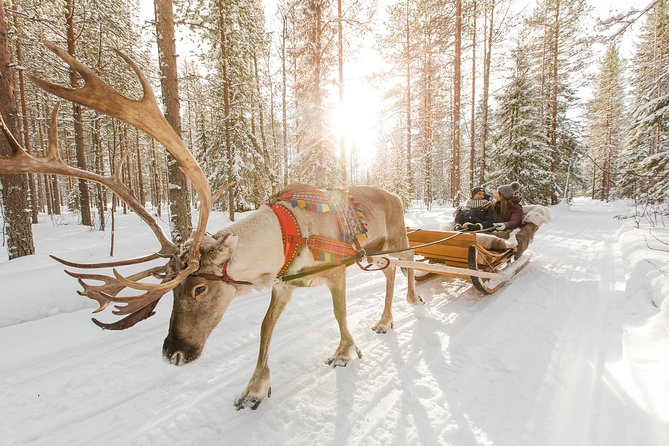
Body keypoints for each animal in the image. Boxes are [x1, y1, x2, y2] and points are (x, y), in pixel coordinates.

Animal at [0, 42, 421, 410]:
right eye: (171, 290)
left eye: (199, 288)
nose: (174, 353)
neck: (288, 235)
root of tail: (396, 194)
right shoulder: (283, 283)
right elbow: (265, 329)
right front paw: (254, 388)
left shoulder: (335, 273)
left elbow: (340, 315)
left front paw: (344, 352)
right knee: (395, 270)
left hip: (394, 240)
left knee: (406, 265)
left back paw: (397, 311)